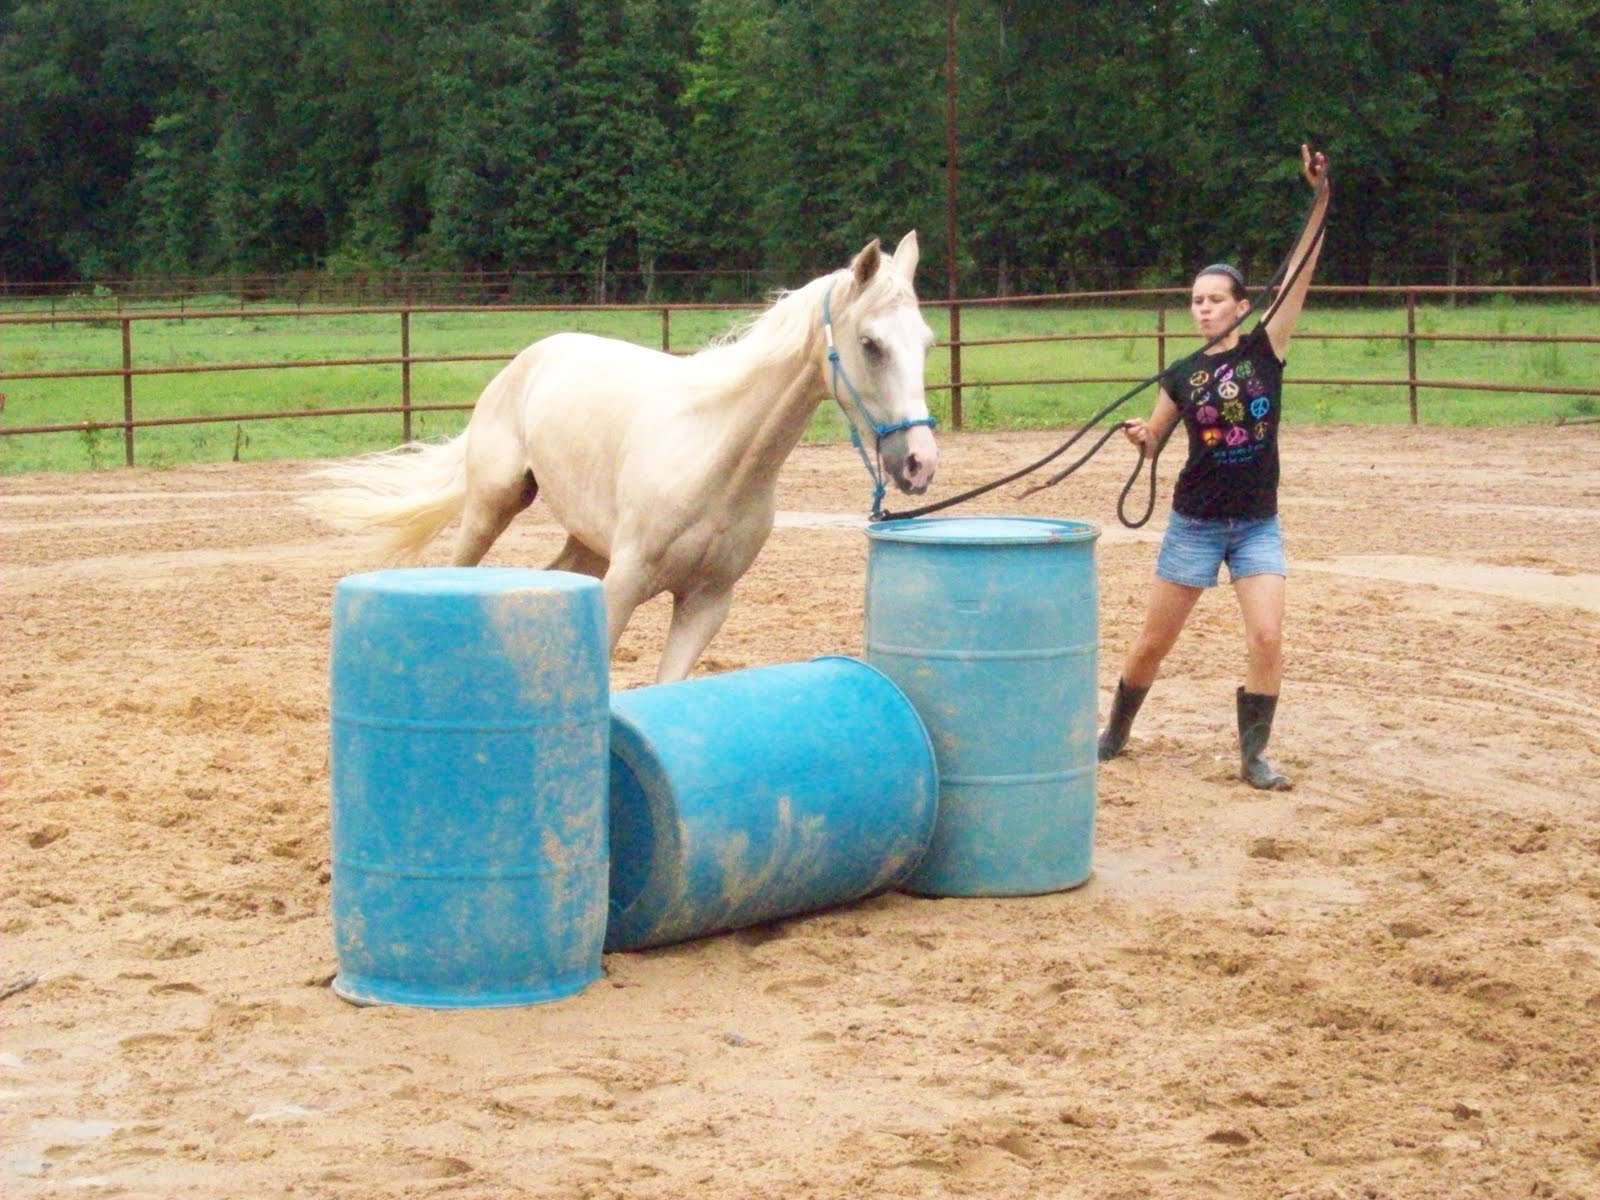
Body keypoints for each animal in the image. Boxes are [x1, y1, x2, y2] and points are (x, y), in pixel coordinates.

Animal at [300, 232, 939, 683]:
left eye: (927, 342)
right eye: (871, 344)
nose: (920, 463)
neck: (719, 457)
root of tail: (528, 360)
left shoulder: (707, 603)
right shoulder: (625, 582)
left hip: (586, 541)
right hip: (493, 504)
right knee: (461, 567)